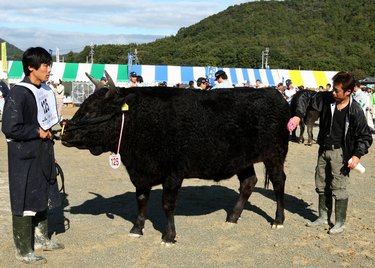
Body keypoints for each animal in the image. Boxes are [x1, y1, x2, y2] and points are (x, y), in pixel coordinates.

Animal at [61, 73, 290, 243]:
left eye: (92, 112)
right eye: (82, 107)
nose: (64, 134)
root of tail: (273, 93)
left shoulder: (173, 173)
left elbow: (167, 204)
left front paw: (169, 236)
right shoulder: (141, 173)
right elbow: (141, 200)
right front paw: (137, 228)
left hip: (275, 154)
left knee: (278, 183)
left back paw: (278, 220)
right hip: (242, 159)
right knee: (248, 183)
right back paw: (232, 217)